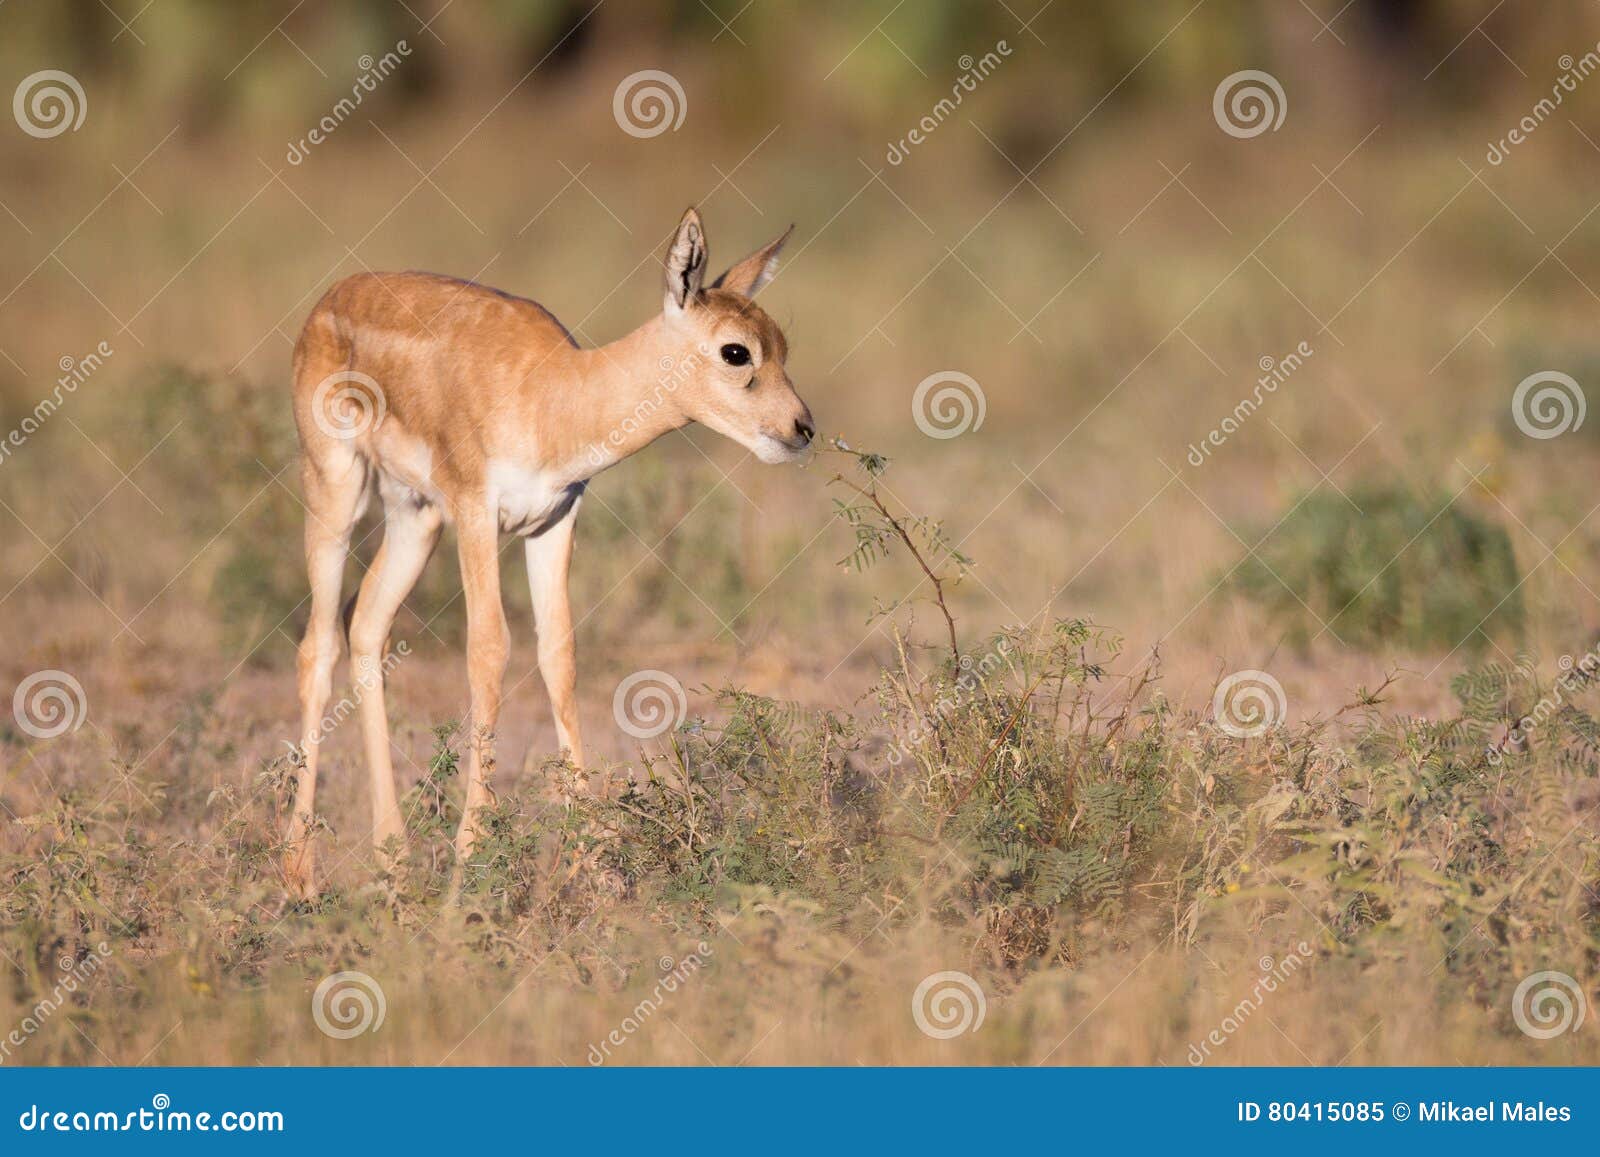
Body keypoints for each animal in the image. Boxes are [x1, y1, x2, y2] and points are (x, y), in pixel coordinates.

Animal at [284, 208, 814, 900]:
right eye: (736, 351)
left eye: (781, 343)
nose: (802, 429)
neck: (555, 394)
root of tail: (331, 298)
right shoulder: (477, 514)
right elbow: (489, 650)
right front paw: (469, 865)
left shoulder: (553, 522)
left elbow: (558, 656)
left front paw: (595, 864)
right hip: (335, 490)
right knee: (316, 647)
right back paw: (299, 876)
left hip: (413, 518)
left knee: (366, 624)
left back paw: (392, 859)